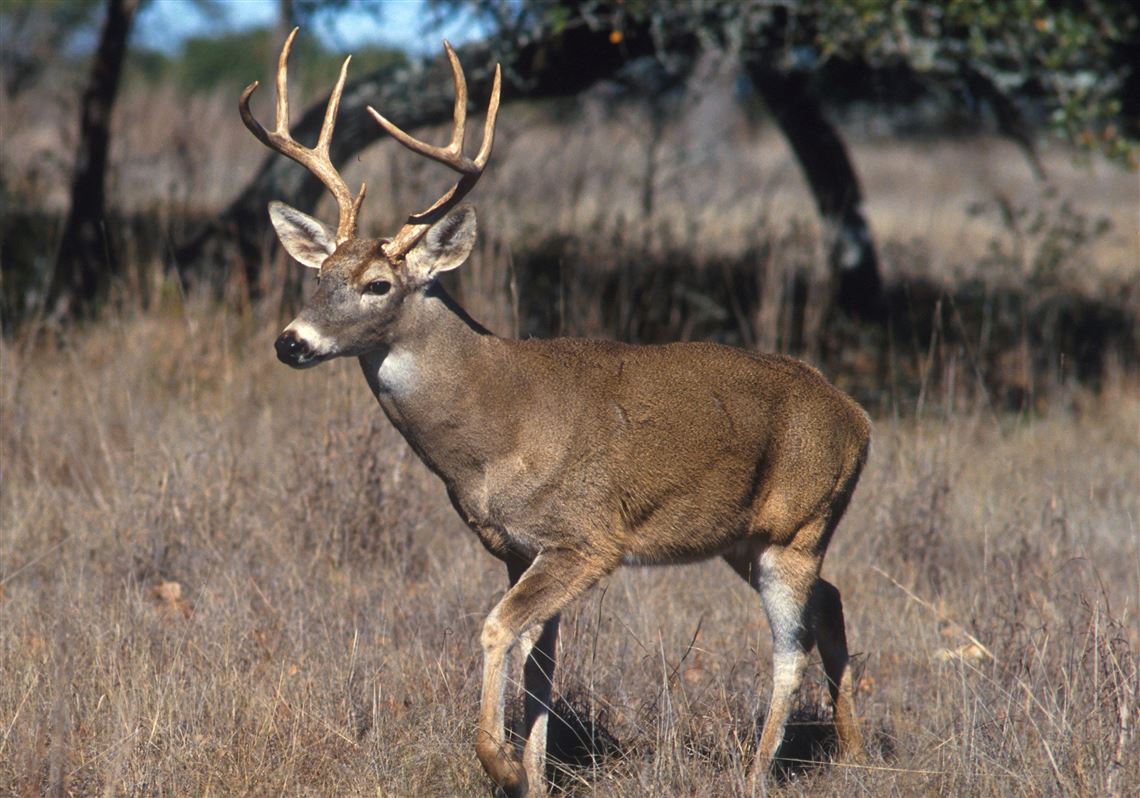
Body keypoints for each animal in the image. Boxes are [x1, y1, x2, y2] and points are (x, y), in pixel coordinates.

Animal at [243, 29, 870, 797]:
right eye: (319, 276)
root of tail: (858, 417)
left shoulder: (586, 538)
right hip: (748, 539)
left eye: (378, 284)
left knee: (792, 644)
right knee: (831, 603)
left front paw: (502, 763)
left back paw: (756, 774)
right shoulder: (517, 548)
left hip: (798, 527)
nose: (291, 341)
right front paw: (534, 775)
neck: (494, 430)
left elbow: (495, 631)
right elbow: (538, 662)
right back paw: (854, 753)